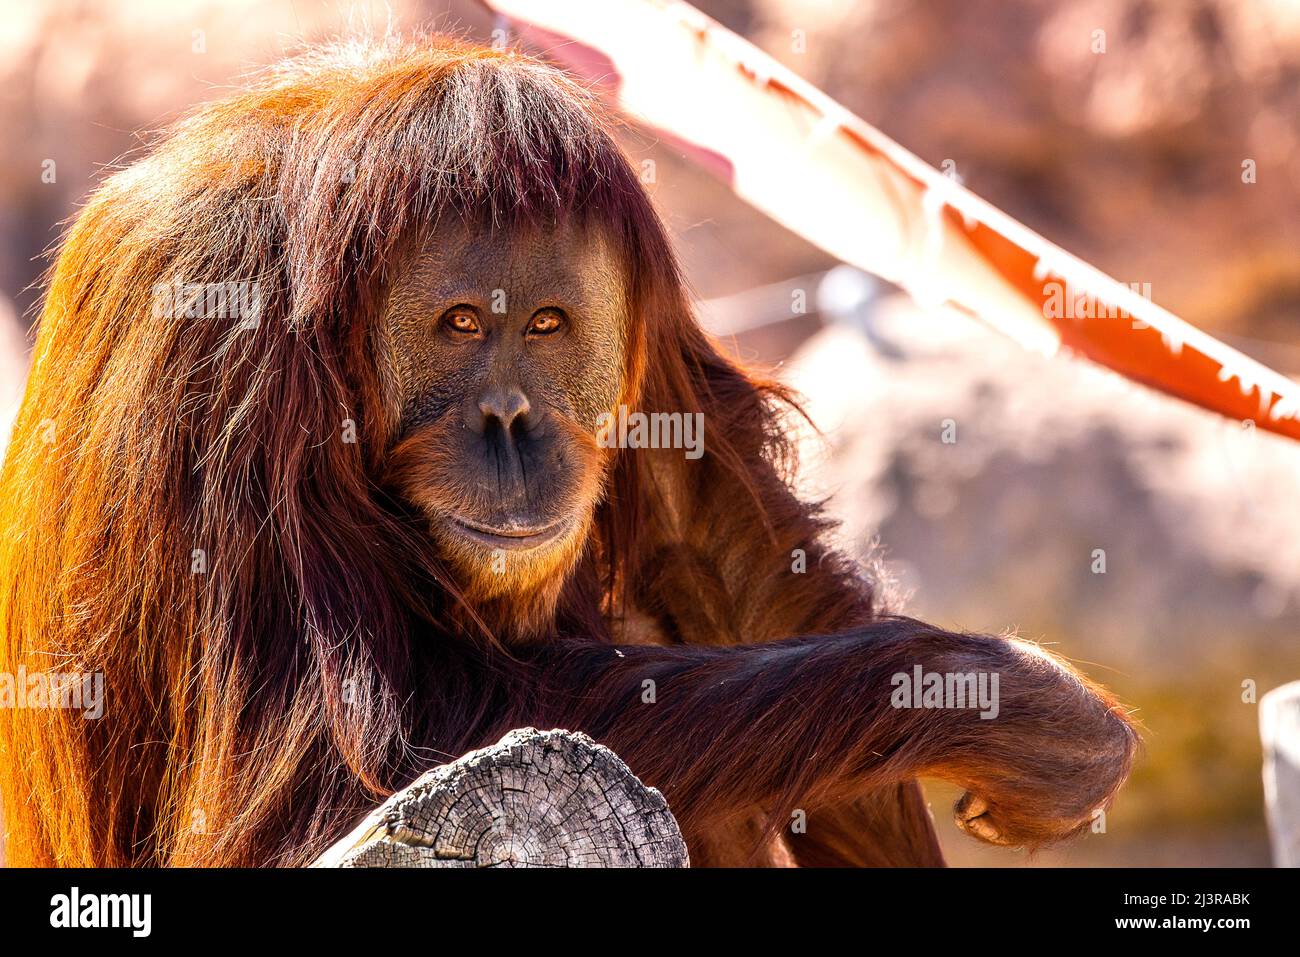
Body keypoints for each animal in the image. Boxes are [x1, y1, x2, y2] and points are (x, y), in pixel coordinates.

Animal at [0, 35, 1136, 867]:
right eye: (461, 325)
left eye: (546, 327)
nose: (512, 423)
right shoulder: (217, 336)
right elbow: (321, 780)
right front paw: (1015, 704)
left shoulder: (646, 291)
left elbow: (735, 561)